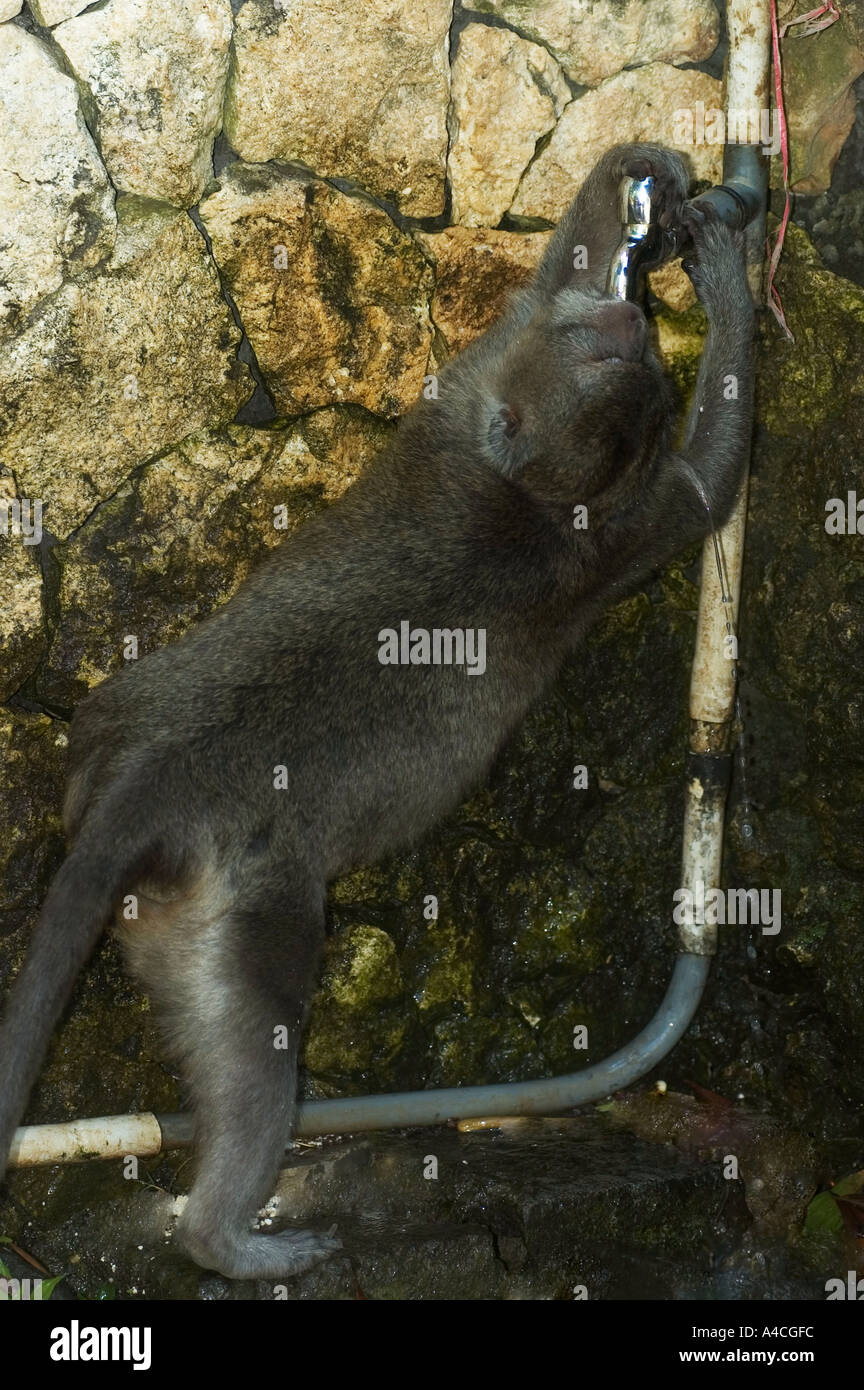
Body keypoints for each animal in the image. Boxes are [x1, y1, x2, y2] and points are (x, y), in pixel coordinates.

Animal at [0, 145, 754, 1281]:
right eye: (600, 353)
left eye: (636, 371)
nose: (633, 320)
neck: (532, 497)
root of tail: (154, 778)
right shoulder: (511, 450)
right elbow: (698, 463)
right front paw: (679, 222)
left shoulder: (496, 431)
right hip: (221, 868)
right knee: (262, 1051)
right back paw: (229, 1239)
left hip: (144, 780)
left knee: (251, 1047)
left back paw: (220, 1236)